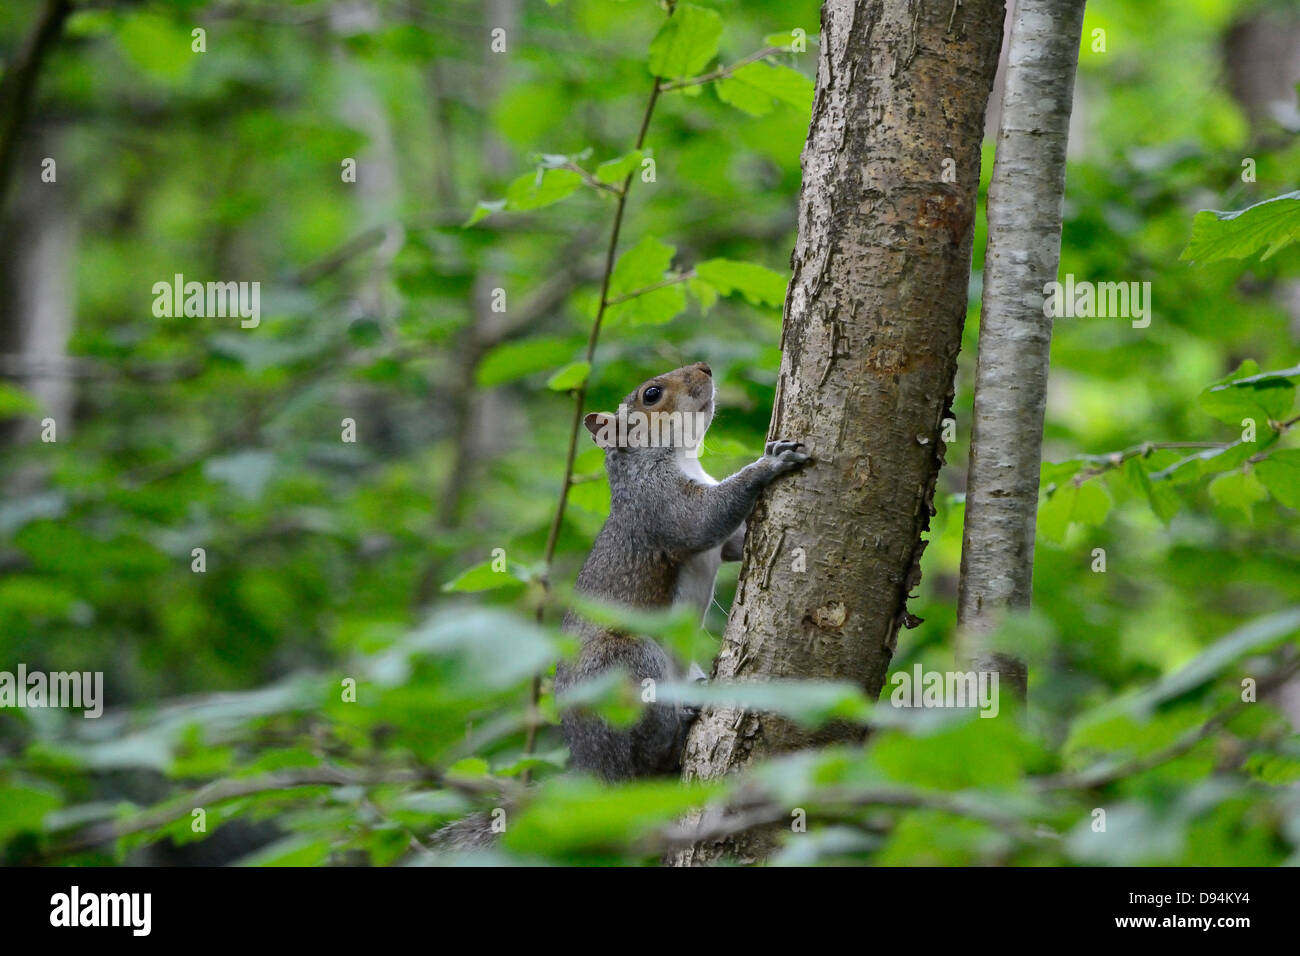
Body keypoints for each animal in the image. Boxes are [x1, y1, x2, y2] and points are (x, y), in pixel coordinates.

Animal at [553, 361, 810, 781]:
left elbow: (734, 543)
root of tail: (598, 771)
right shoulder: (659, 503)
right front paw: (767, 464)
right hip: (625, 667)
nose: (705, 367)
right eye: (651, 394)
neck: (683, 459)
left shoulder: (724, 542)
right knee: (648, 752)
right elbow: (701, 520)